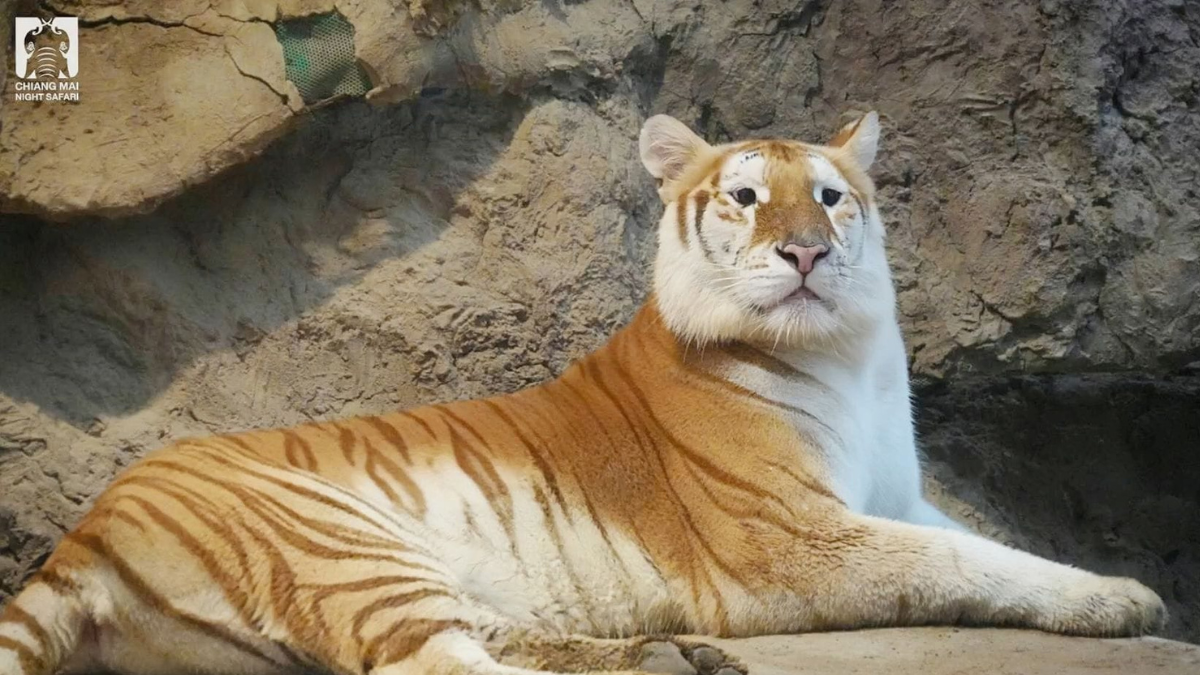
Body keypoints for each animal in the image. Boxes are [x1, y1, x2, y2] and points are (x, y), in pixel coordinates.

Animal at [0, 111, 1166, 675]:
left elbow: (985, 540)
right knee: (432, 666)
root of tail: (80, 533)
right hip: (340, 544)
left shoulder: (894, 496)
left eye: (832, 197)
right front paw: (1125, 599)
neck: (848, 350)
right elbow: (965, 560)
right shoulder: (795, 538)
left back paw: (664, 657)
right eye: (748, 197)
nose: (804, 252)